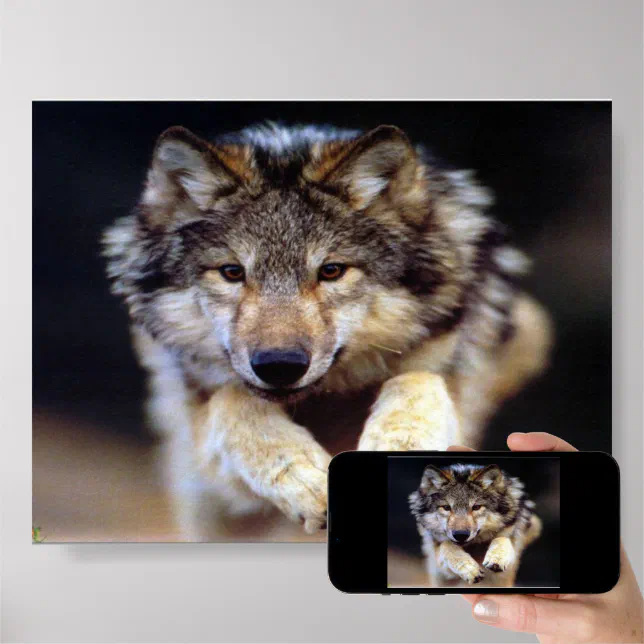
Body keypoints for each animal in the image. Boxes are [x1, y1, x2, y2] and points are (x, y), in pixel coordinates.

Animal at [103, 121, 552, 540]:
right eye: (231, 272)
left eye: (331, 271)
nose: (279, 366)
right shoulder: (208, 460)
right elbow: (234, 400)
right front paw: (303, 478)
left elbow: (418, 380)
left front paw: (396, 444)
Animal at [408, 463, 542, 587]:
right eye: (446, 507)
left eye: (476, 507)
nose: (461, 535)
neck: (473, 545)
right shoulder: (440, 568)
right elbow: (447, 545)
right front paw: (469, 569)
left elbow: (502, 538)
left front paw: (497, 558)